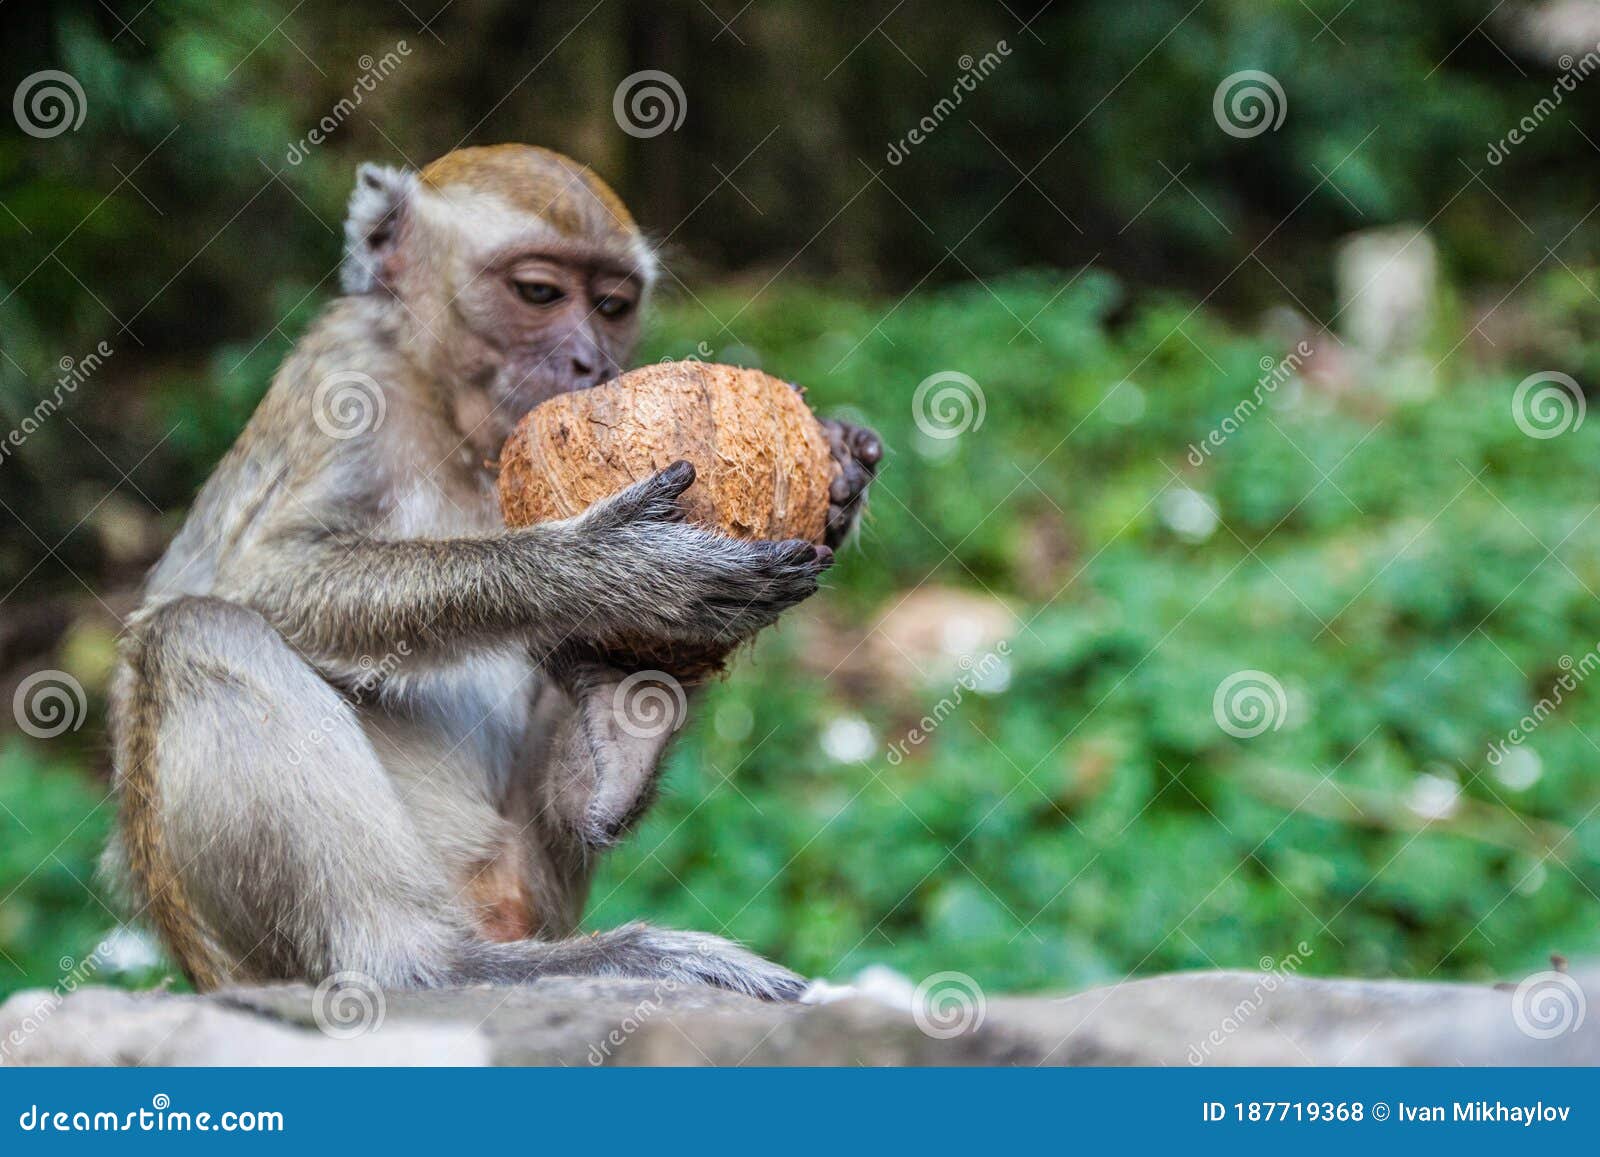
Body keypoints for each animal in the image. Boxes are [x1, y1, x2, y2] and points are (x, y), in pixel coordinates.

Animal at [103, 144, 882, 1001]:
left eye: (613, 305)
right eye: (538, 293)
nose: (591, 361)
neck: (454, 421)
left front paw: (843, 475)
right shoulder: (346, 375)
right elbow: (260, 576)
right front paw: (611, 568)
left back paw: (619, 735)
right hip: (246, 957)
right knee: (199, 630)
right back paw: (441, 965)